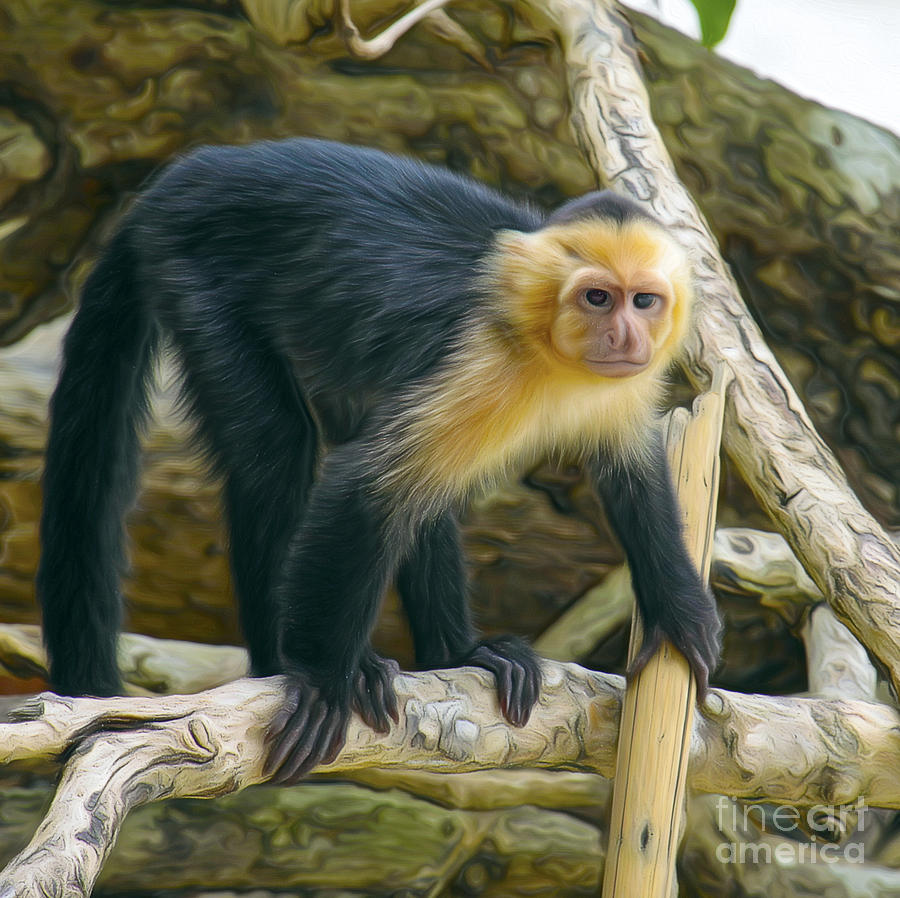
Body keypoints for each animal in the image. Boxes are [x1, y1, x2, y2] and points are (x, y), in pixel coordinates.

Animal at [37, 138, 721, 783]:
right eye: (598, 298)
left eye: (644, 302)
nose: (625, 336)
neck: (542, 343)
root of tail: (183, 178)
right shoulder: (479, 356)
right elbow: (362, 484)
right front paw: (318, 679)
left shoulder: (627, 382)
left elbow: (631, 473)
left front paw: (678, 608)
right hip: (194, 274)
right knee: (280, 452)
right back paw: (283, 662)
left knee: (413, 480)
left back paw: (458, 653)